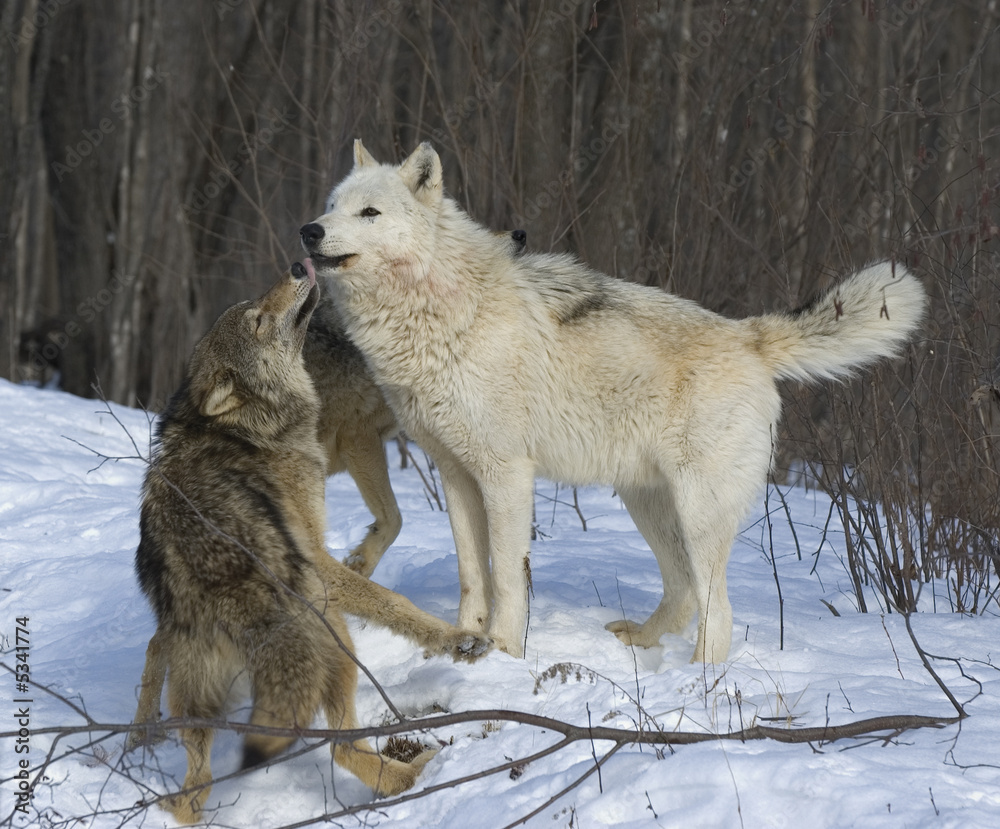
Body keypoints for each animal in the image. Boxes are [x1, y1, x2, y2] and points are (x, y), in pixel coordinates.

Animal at [130, 261, 491, 824]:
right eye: (257, 320)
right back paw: (416, 773)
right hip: (336, 644)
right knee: (342, 745)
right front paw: (457, 639)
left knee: (194, 789)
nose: (298, 267)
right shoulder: (318, 550)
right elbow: (391, 599)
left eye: (252, 306)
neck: (250, 428)